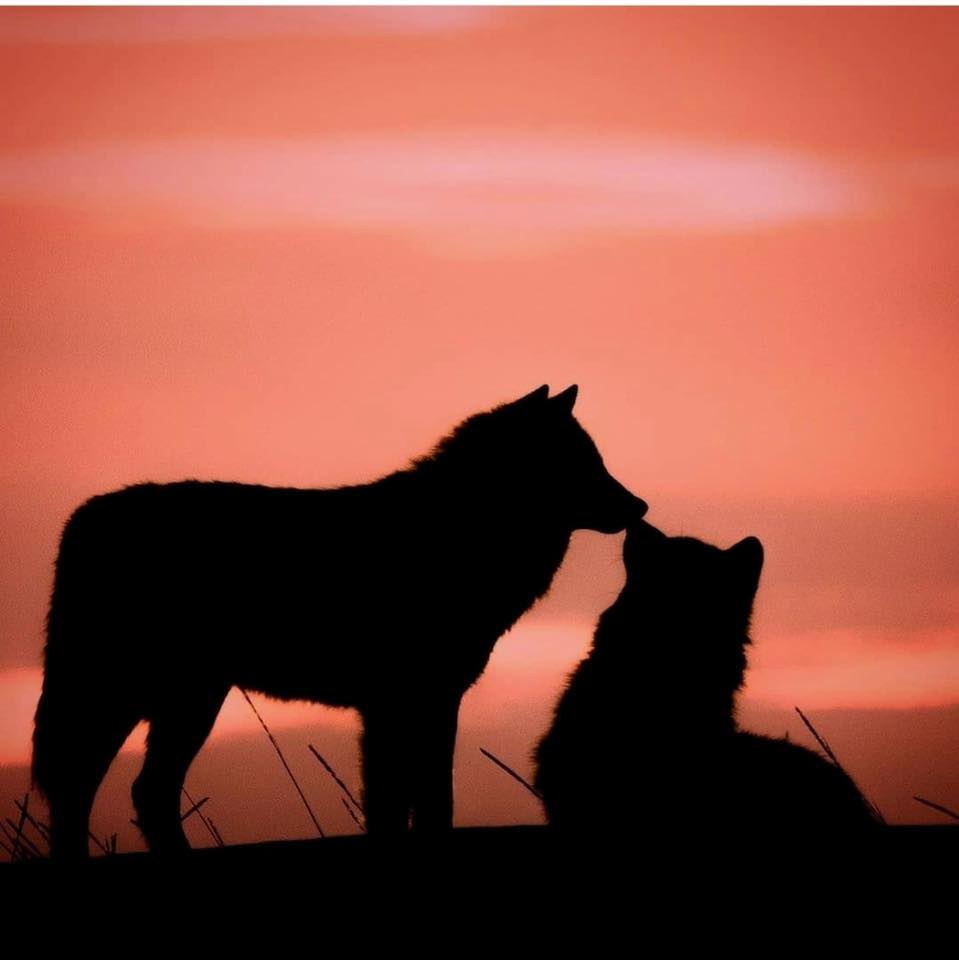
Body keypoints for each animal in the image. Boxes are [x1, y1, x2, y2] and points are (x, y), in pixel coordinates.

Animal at [32, 384, 647, 857]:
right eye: (585, 464)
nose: (639, 506)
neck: (462, 529)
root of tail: (81, 518)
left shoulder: (429, 702)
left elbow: (429, 801)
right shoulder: (398, 702)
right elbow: (398, 803)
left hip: (186, 702)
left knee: (142, 790)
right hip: (130, 695)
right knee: (81, 784)